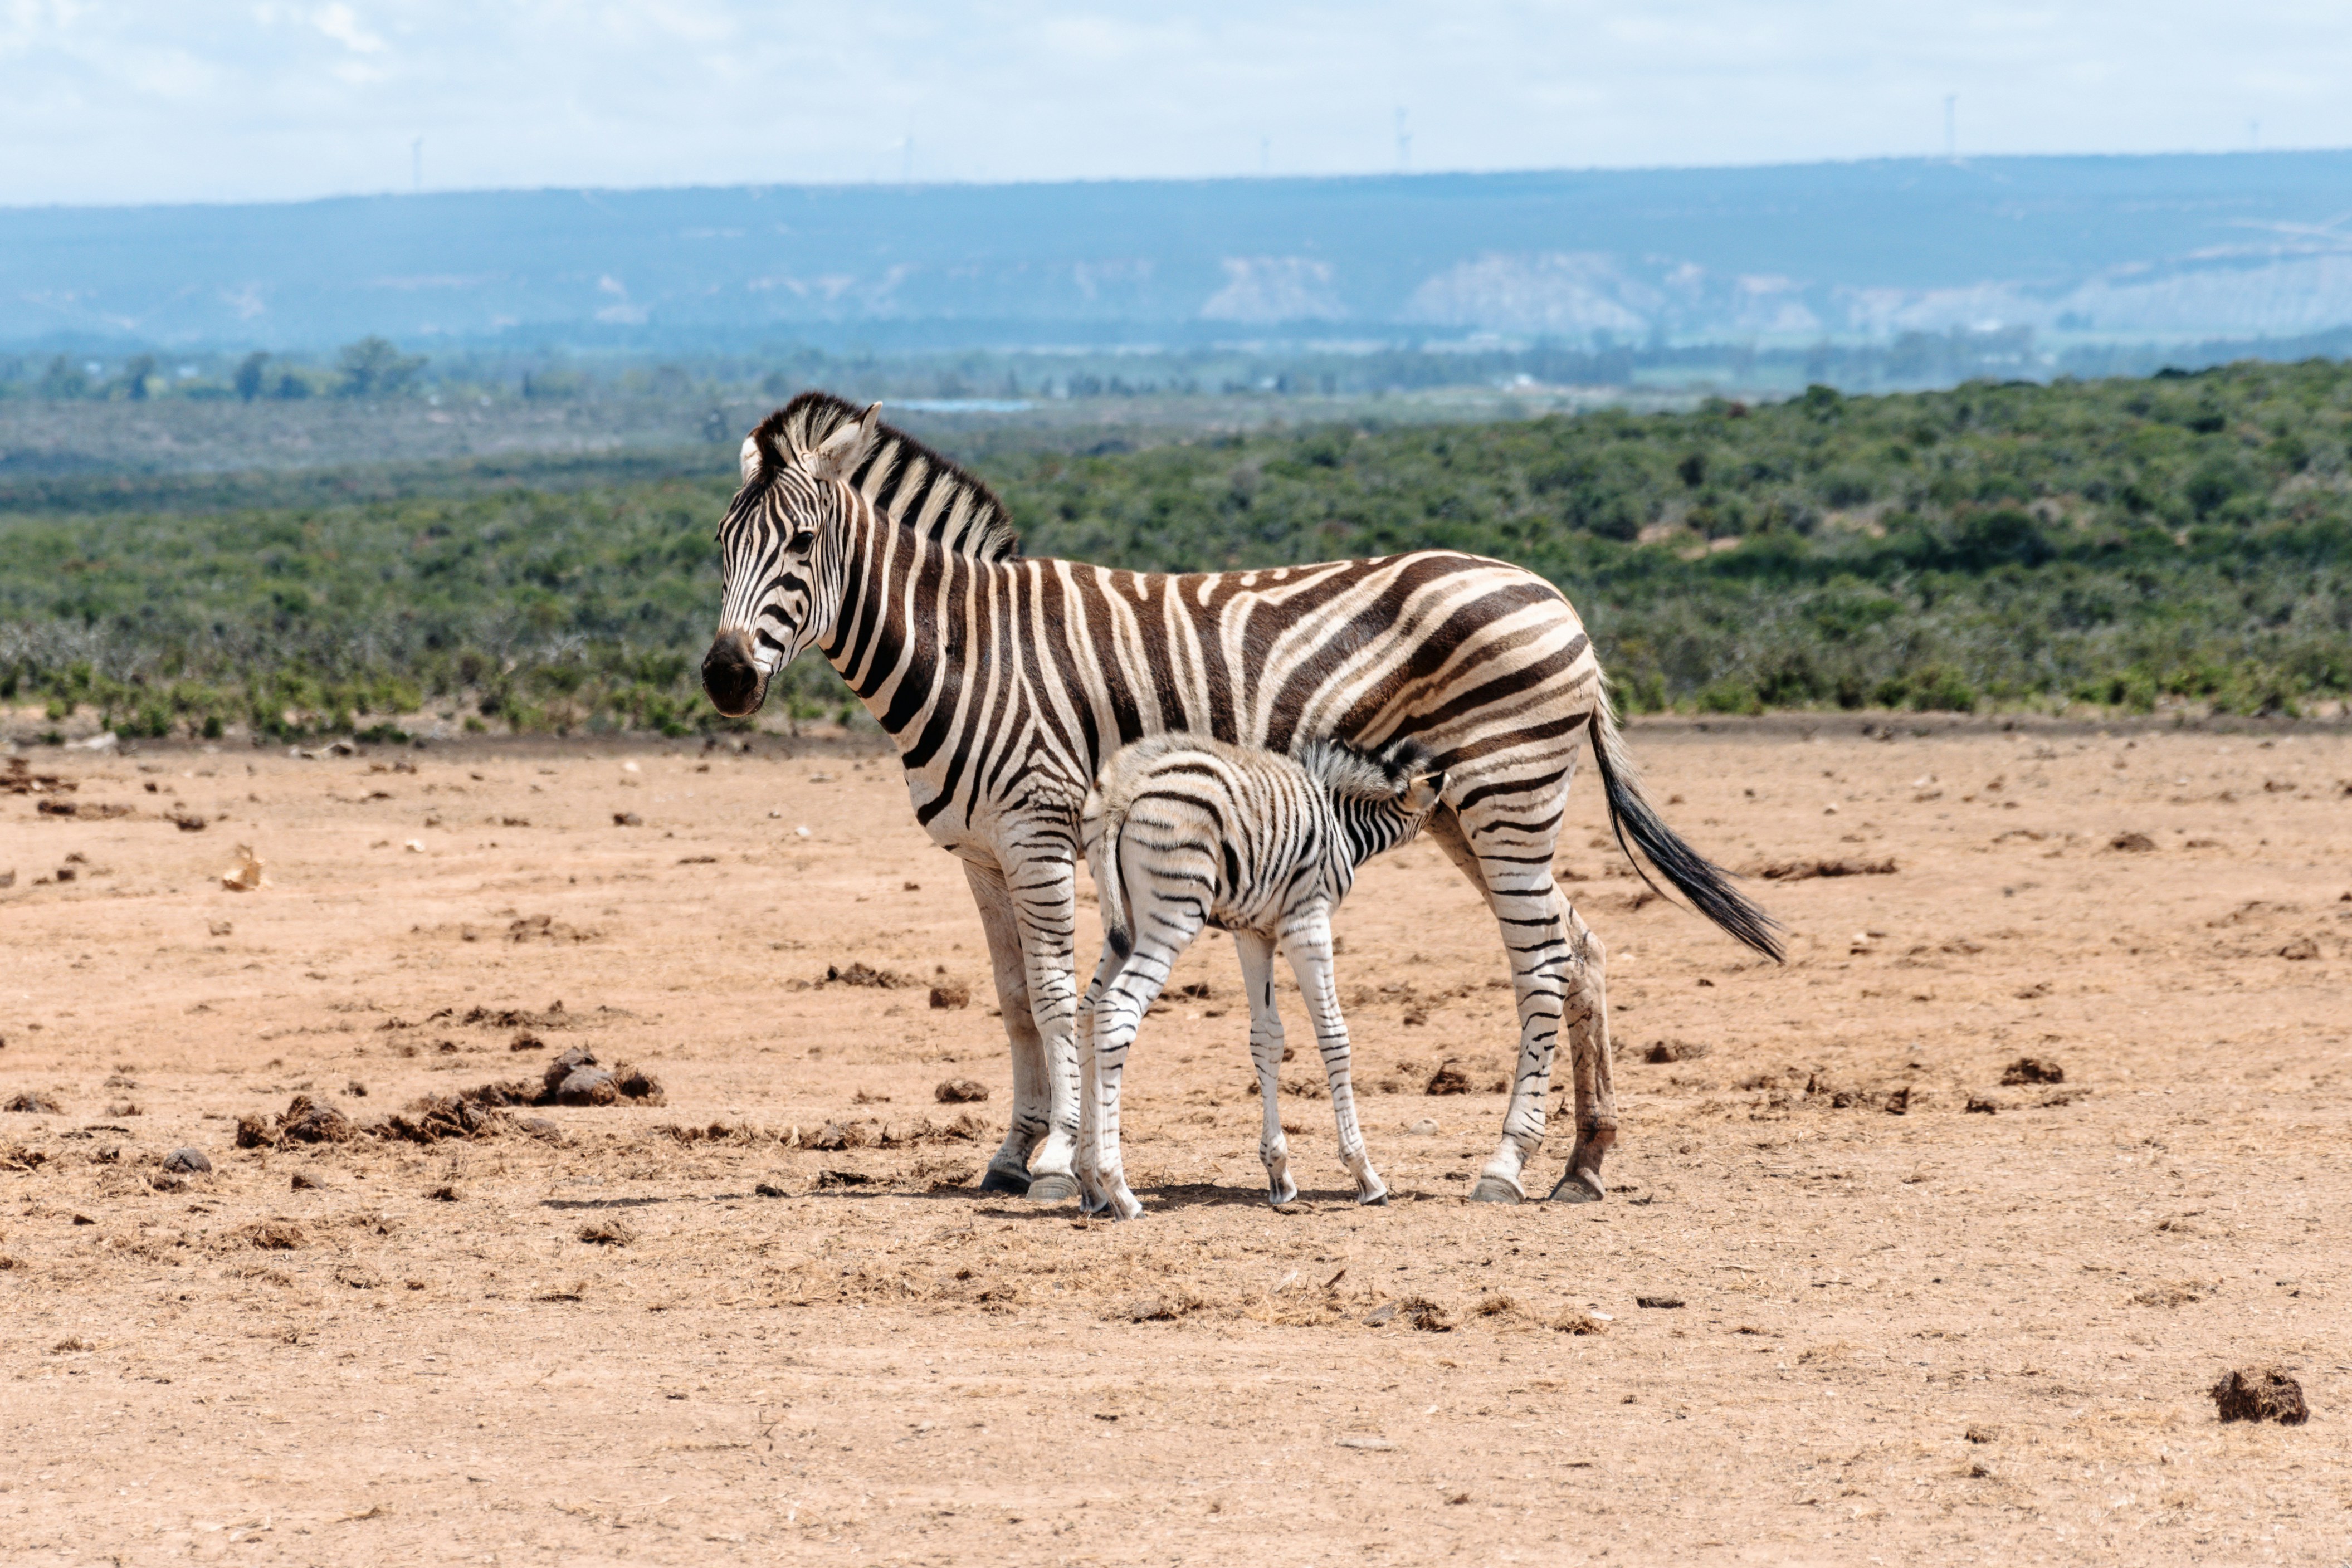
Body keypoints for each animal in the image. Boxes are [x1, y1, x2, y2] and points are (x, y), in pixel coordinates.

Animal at [1075, 734, 1444, 1219]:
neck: (1343, 822)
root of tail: (1124, 786)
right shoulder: (1306, 921)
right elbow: (1334, 1035)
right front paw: (1365, 1174)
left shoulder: (1253, 931)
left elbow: (1267, 1036)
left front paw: (1279, 1174)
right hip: (1174, 913)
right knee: (1117, 1010)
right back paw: (1120, 1190)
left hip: (1123, 918)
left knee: (1086, 1013)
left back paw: (1089, 1183)